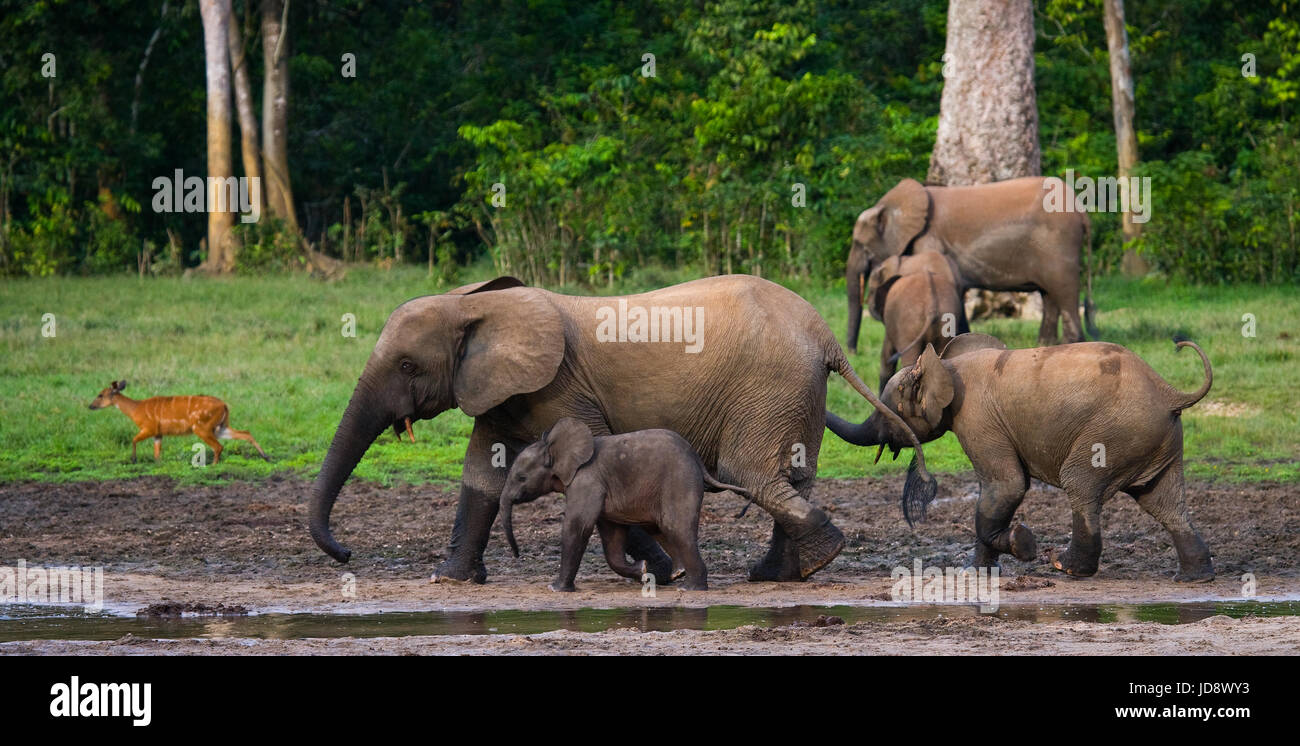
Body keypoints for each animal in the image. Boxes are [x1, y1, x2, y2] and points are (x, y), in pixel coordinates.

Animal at [499, 418, 751, 592]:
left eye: (521, 477)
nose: (517, 554)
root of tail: (698, 459)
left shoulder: (587, 480)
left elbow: (577, 526)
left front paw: (555, 589)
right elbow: (612, 536)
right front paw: (643, 570)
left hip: (680, 480)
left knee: (677, 527)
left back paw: (690, 588)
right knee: (661, 527)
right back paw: (677, 574)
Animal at [825, 333, 1215, 583]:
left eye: (888, 409)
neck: (947, 365)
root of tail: (1170, 392)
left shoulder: (977, 419)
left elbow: (1005, 486)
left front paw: (1021, 544)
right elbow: (1002, 491)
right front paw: (976, 573)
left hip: (1115, 432)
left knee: (1081, 485)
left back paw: (1064, 567)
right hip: (1154, 438)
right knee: (1164, 502)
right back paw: (1194, 579)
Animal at [846, 177, 1097, 354]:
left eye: (860, 245)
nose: (853, 351)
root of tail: (1081, 211)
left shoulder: (929, 241)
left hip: (1059, 247)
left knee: (1064, 294)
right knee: (1049, 296)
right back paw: (1046, 344)